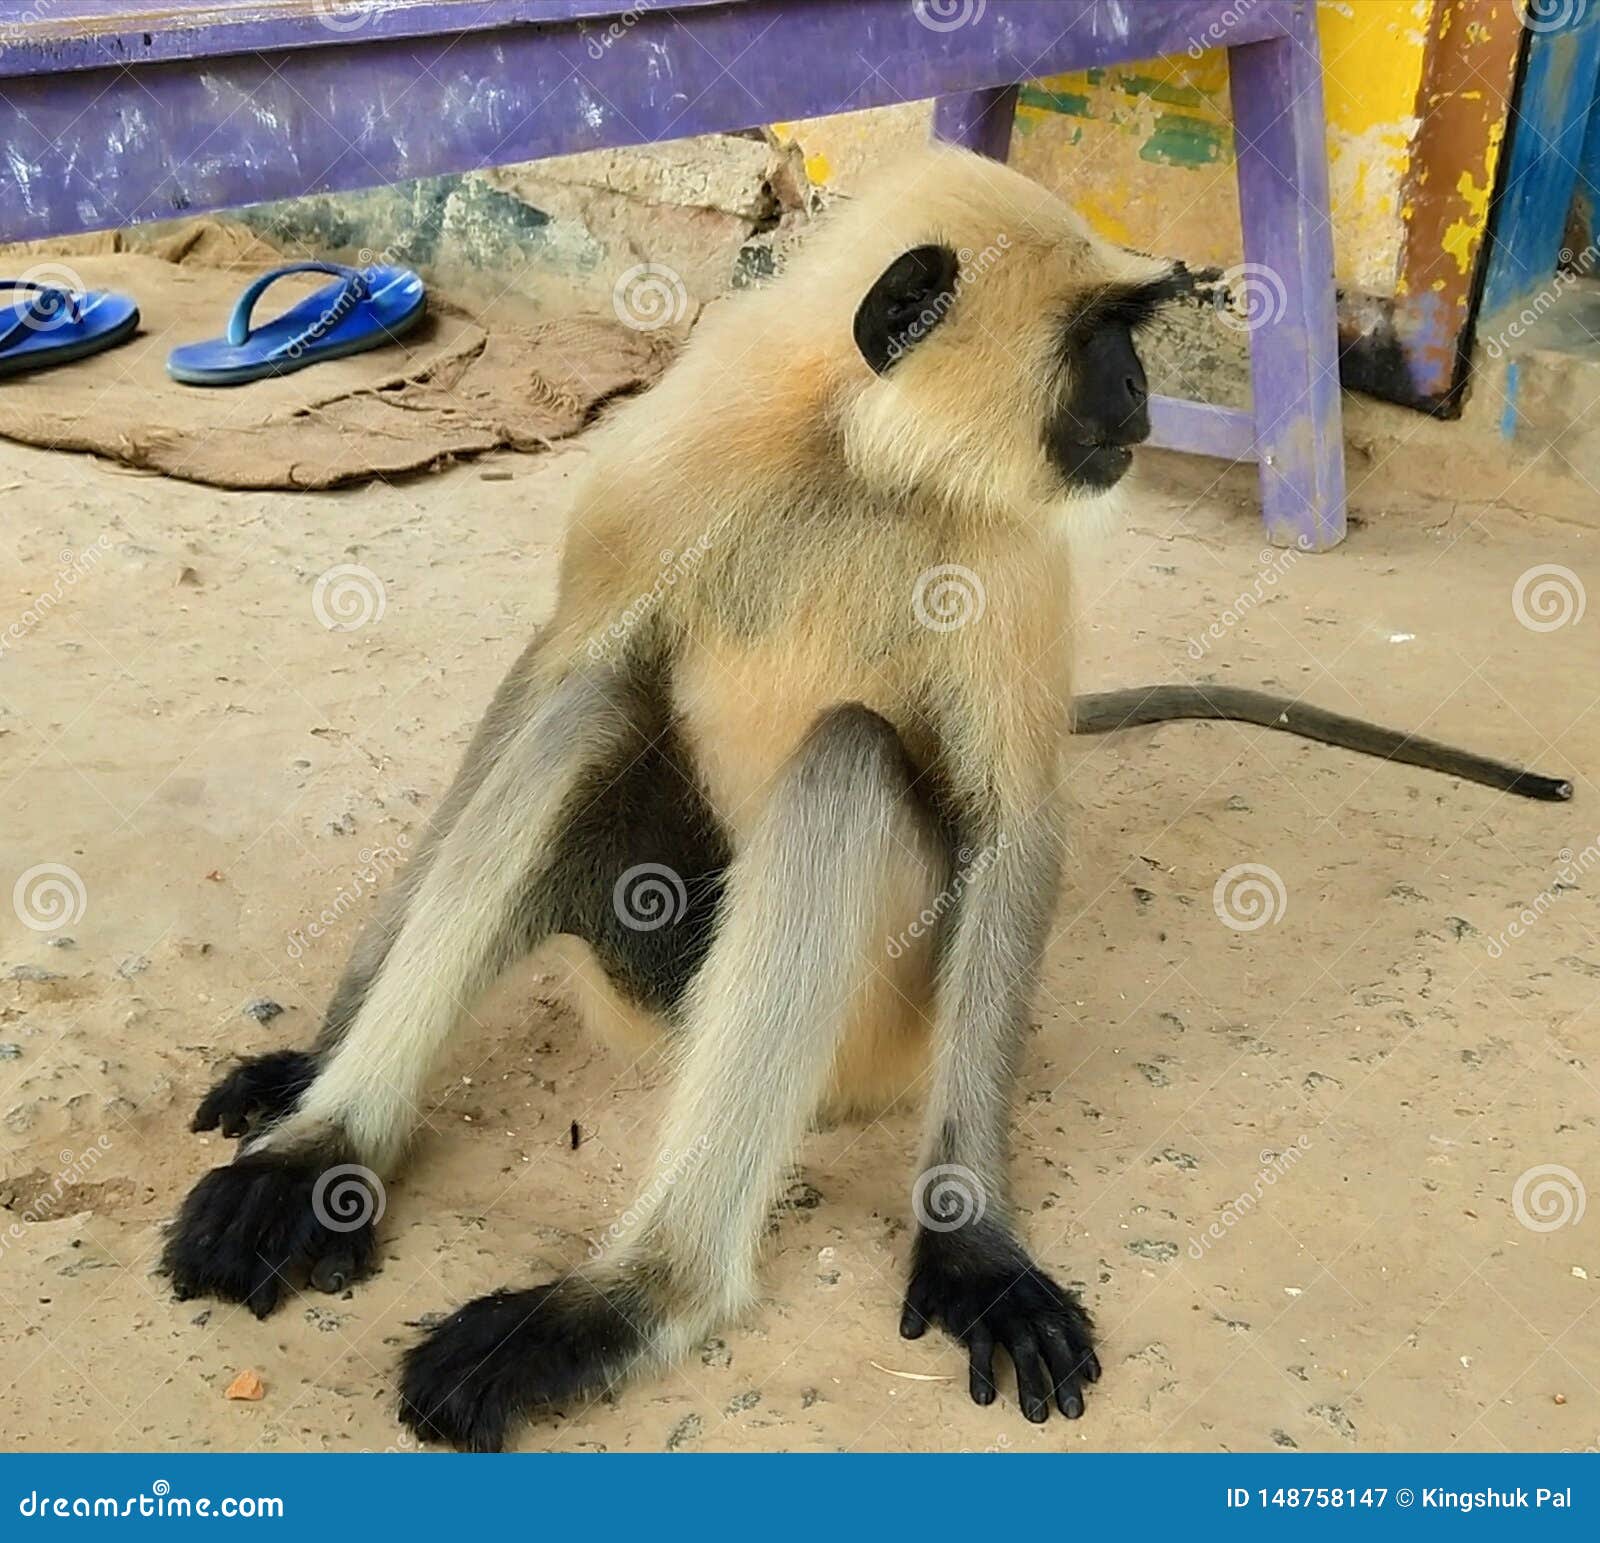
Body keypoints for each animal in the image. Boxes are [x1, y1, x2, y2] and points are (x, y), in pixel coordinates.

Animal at [160, 144, 1570, 1452]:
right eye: (1099, 341)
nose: (1139, 394)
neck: (859, 456)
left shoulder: (1015, 557)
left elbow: (1008, 828)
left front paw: (972, 1243)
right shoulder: (670, 456)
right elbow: (543, 681)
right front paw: (308, 1067)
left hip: (881, 1033)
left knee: (841, 760)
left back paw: (628, 1301)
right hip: (643, 971)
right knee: (590, 713)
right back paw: (325, 1160)